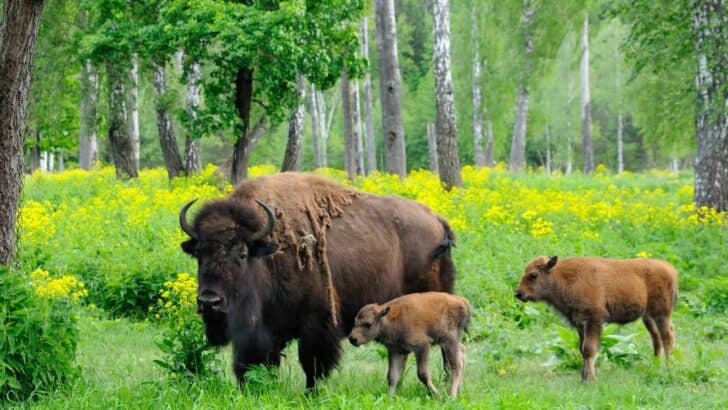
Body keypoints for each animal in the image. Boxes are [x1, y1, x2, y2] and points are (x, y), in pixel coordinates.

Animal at [179, 172, 457, 389]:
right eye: (199, 254)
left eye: (242, 254)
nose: (209, 302)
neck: (268, 254)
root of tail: (437, 220)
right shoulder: (258, 333)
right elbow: (252, 363)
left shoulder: (316, 324)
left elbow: (312, 364)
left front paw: (311, 393)